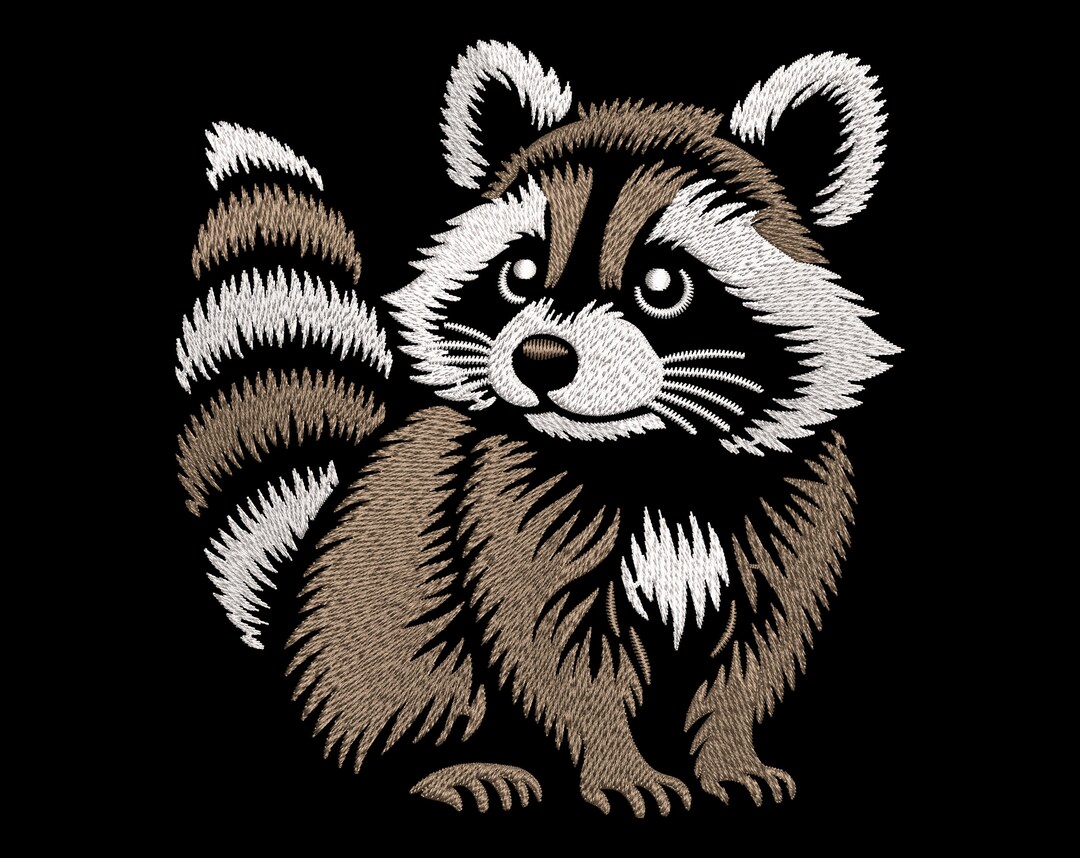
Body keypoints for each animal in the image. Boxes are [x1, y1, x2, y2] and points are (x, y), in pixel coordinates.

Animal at [178, 41, 897, 816]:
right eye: (521, 272)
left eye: (663, 284)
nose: (540, 359)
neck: (653, 455)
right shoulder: (513, 502)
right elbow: (561, 650)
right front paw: (620, 763)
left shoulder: (788, 510)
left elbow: (756, 649)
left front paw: (731, 750)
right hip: (370, 606)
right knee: (415, 664)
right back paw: (442, 761)